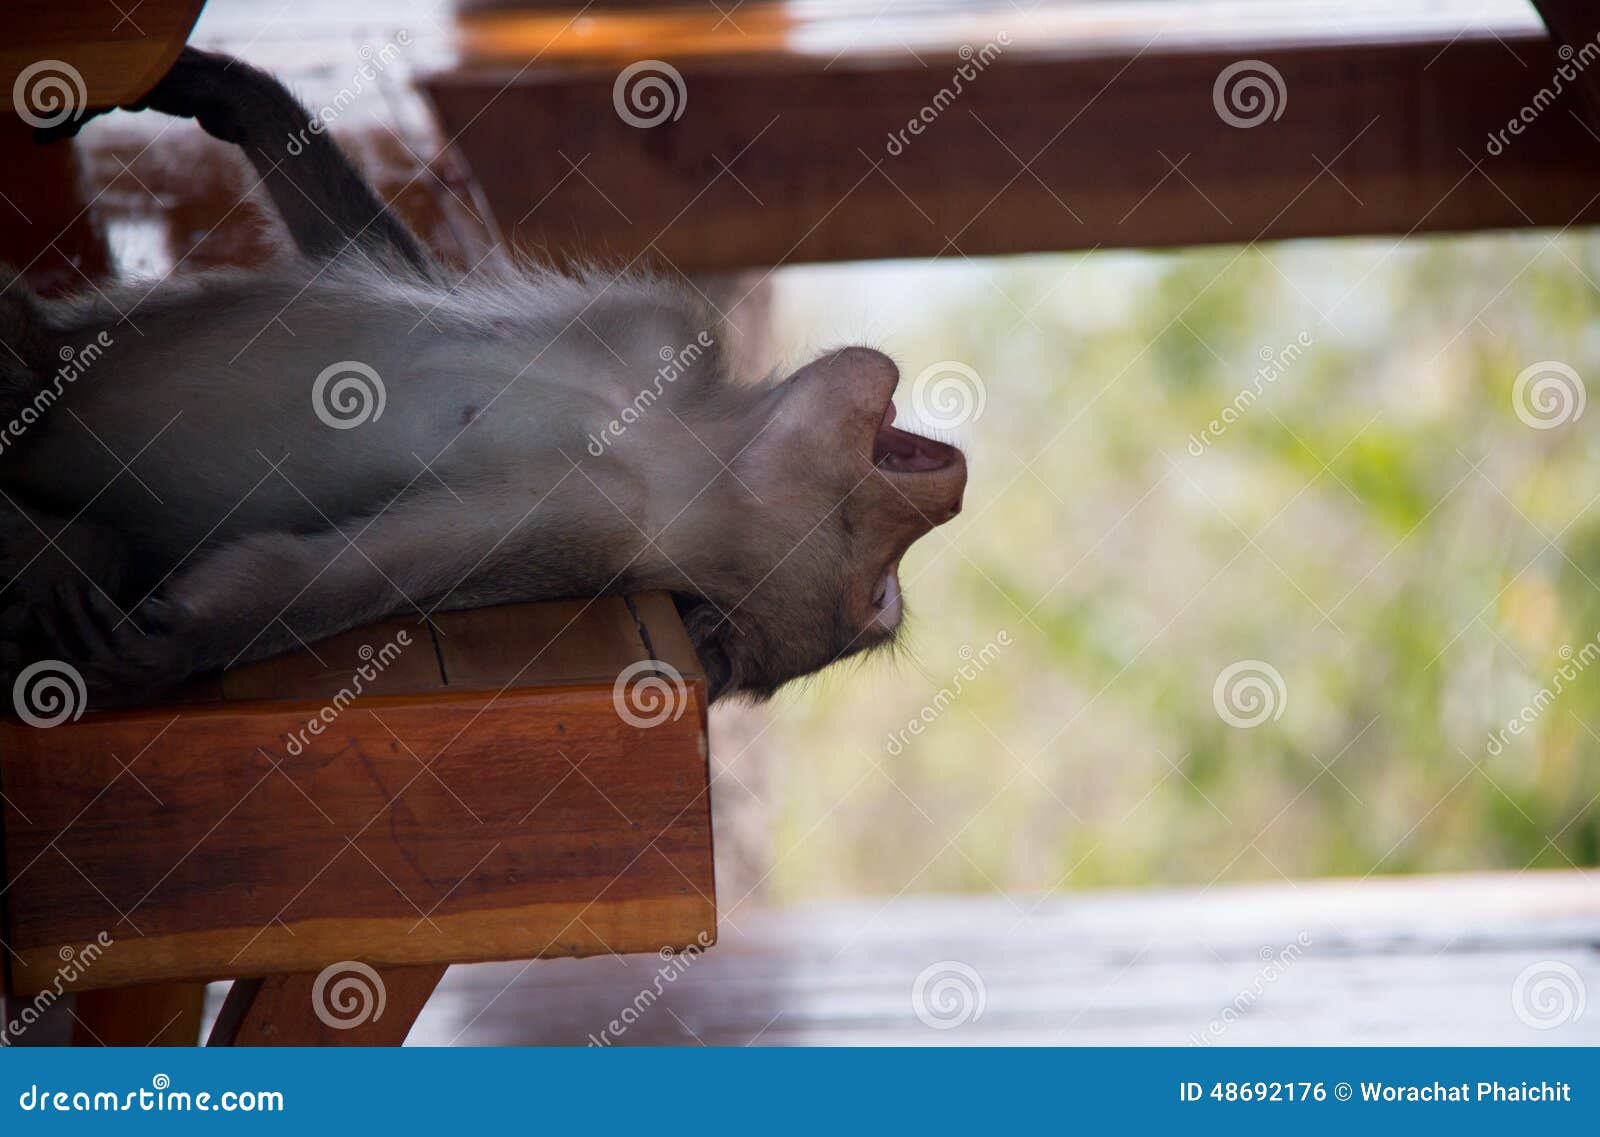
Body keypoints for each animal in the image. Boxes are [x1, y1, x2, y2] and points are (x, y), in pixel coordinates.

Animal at [0, 48, 967, 708]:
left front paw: (171, 647)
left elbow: (313, 575)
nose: (952, 495)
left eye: (874, 593)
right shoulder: (654, 330)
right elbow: (379, 259)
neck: (675, 442)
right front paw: (237, 94)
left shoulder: (591, 523)